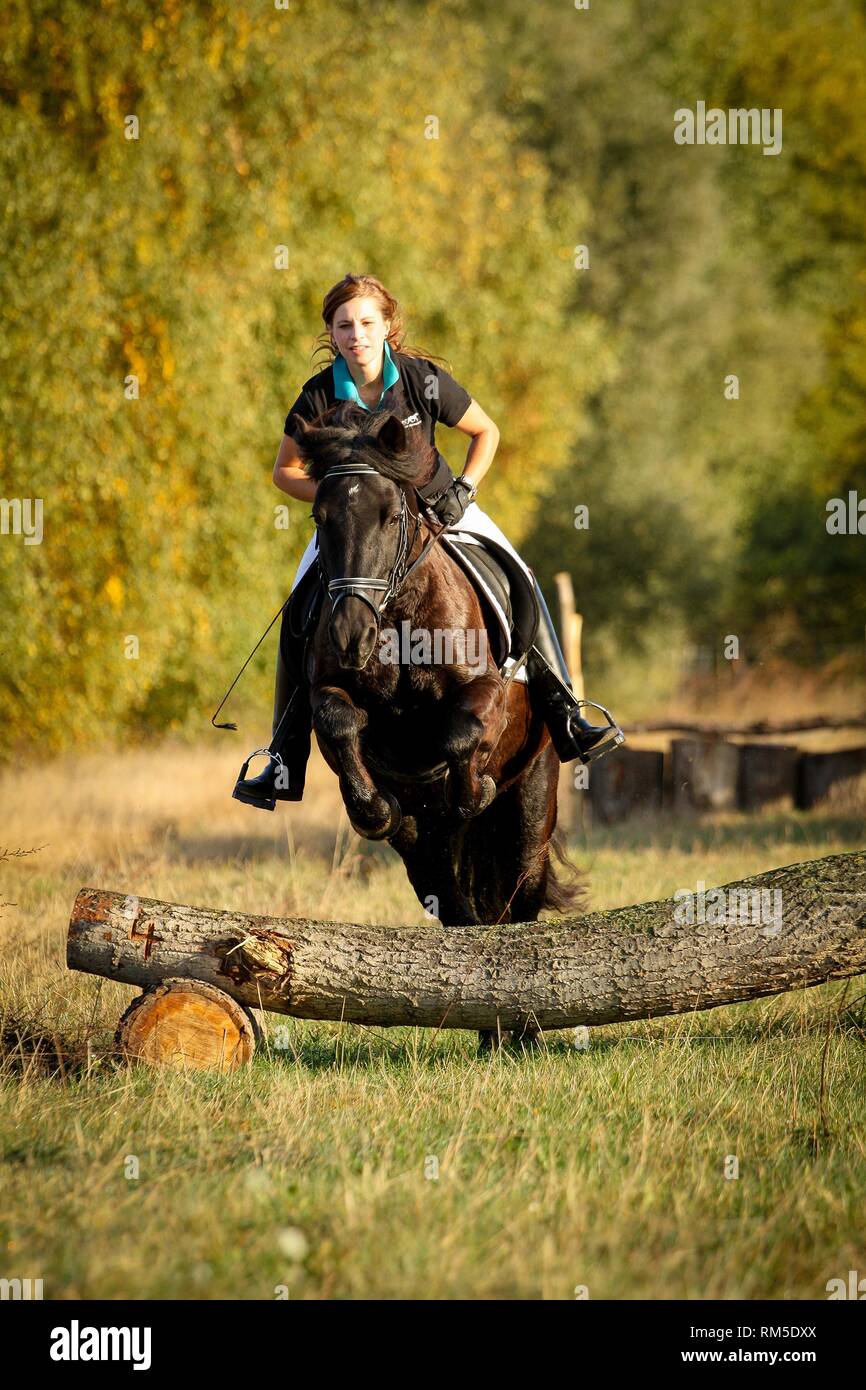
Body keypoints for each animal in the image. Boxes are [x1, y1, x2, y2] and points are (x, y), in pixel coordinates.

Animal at [291, 402, 585, 1050]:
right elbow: (339, 722)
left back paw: (520, 1030)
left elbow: (461, 730)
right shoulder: (329, 692)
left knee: (519, 897)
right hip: (429, 854)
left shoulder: (486, 691)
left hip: (533, 801)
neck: (398, 615)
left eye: (390, 515)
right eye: (321, 518)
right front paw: (374, 809)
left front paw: (472, 788)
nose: (350, 634)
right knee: (457, 906)